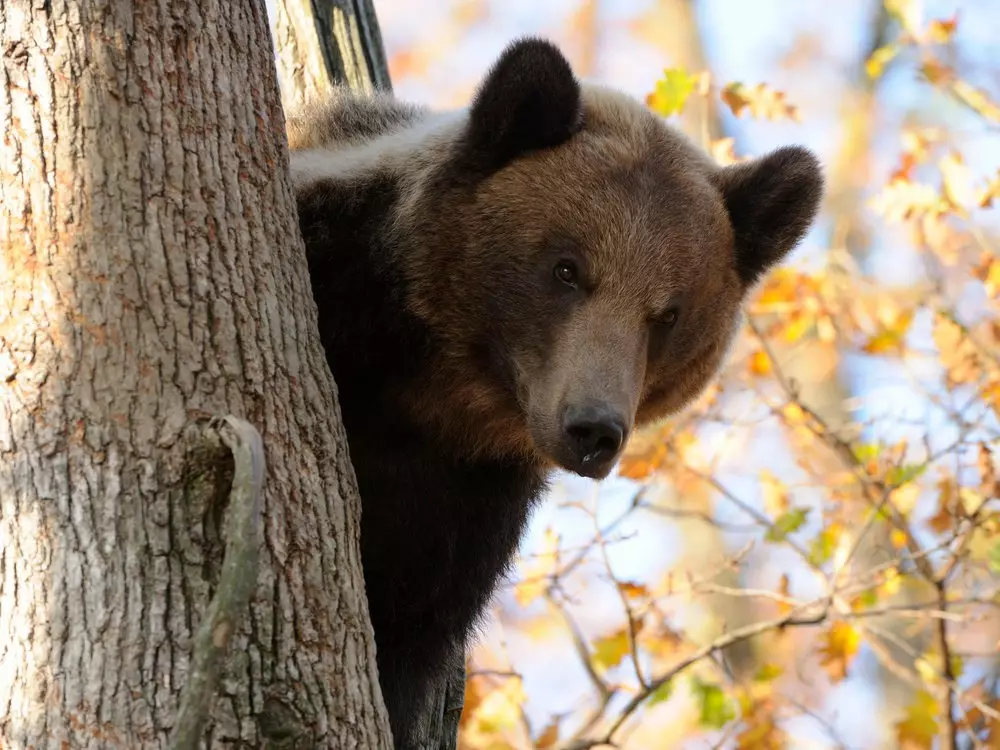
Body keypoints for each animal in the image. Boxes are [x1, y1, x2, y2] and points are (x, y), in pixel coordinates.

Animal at [288, 36, 820, 750]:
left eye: (668, 313)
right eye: (567, 268)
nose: (592, 429)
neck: (434, 393)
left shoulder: (462, 507)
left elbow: (403, 634)